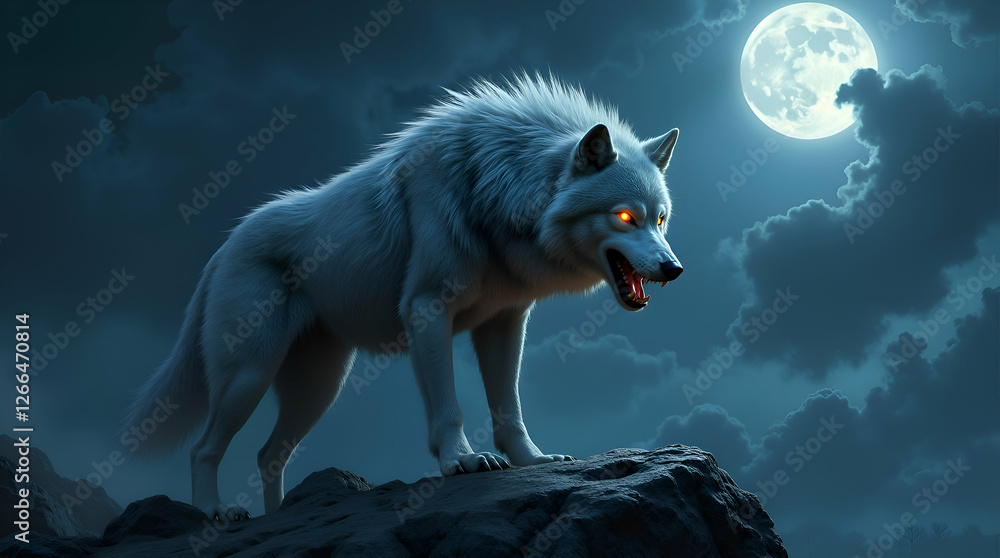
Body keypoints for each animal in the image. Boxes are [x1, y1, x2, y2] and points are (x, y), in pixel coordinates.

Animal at [124, 73, 683, 521]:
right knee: (203, 449)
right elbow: (450, 407)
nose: (674, 269)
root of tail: (224, 246)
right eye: (626, 217)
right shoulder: (427, 311)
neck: (495, 189)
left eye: (659, 219)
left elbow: (510, 407)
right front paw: (462, 461)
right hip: (250, 374)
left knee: (268, 455)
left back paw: (280, 516)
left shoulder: (505, 322)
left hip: (317, 389)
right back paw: (215, 512)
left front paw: (530, 461)